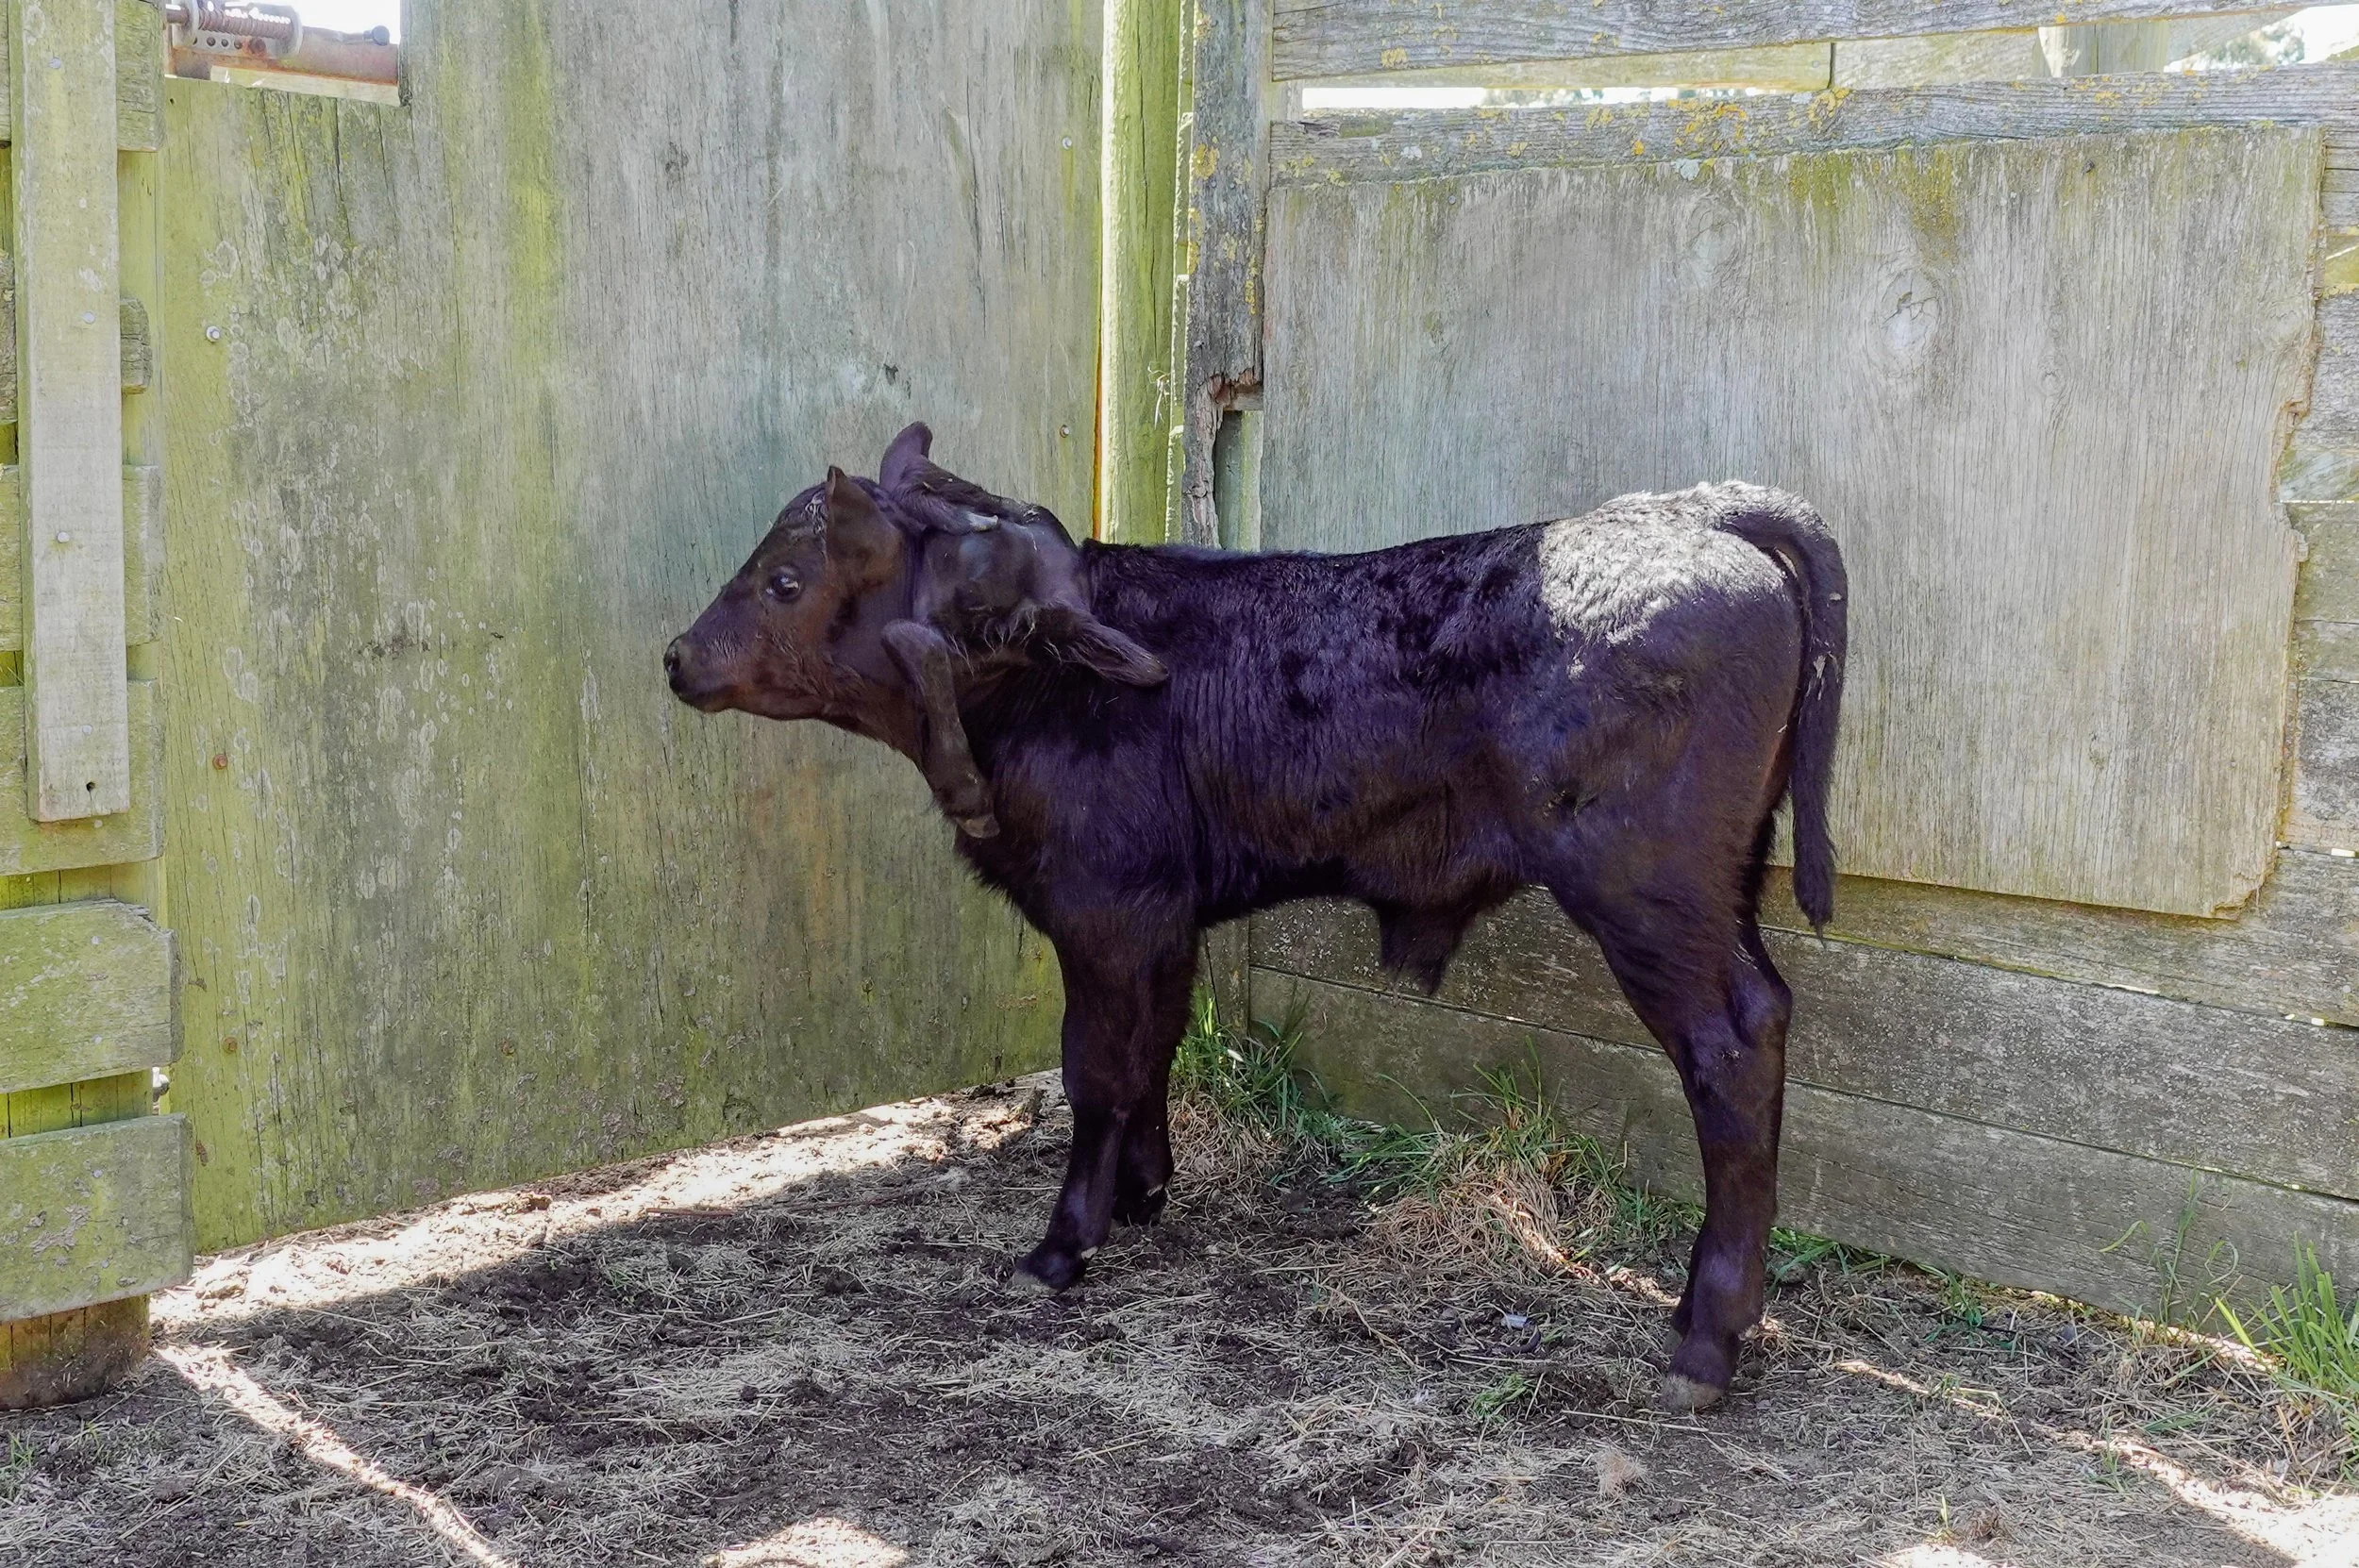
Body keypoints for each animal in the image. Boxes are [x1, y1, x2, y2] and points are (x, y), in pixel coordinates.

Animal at [665, 437, 1847, 1413]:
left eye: (783, 581)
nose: (677, 655)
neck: (1023, 677)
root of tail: (1695, 509)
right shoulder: (1162, 918)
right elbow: (1154, 1047)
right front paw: (1142, 1192)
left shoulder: (1103, 909)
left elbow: (1097, 1068)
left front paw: (1063, 1244)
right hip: (1724, 885)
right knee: (1770, 1012)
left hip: (1649, 894)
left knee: (1731, 1047)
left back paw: (1705, 1343)